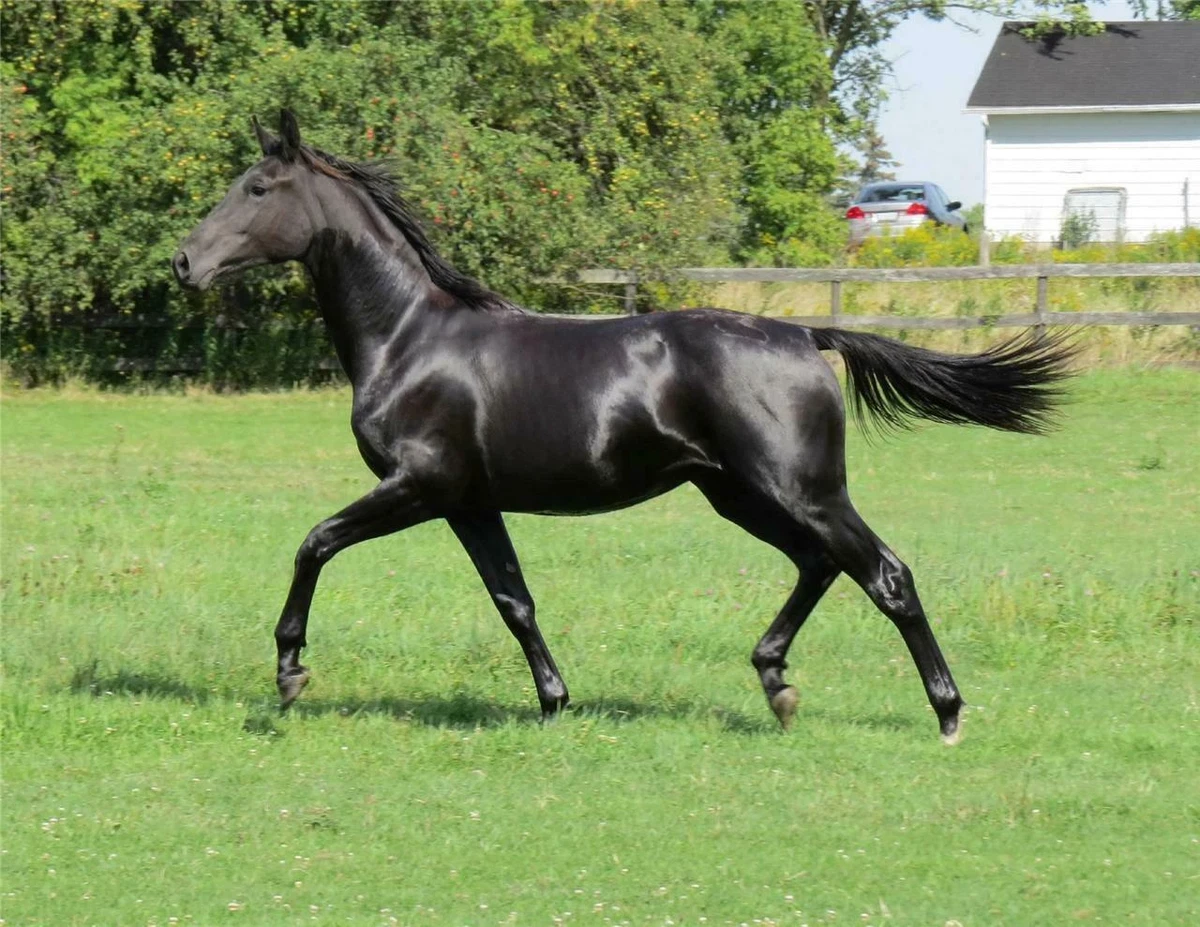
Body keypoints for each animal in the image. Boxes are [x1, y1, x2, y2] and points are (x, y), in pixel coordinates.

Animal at [173, 110, 1073, 743]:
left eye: (258, 190)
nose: (185, 261)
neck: (408, 338)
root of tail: (804, 334)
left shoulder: (418, 485)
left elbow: (315, 542)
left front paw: (290, 671)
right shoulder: (469, 500)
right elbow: (514, 598)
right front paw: (553, 701)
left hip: (800, 489)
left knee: (885, 574)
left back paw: (946, 712)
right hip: (739, 494)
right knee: (821, 565)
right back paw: (776, 682)